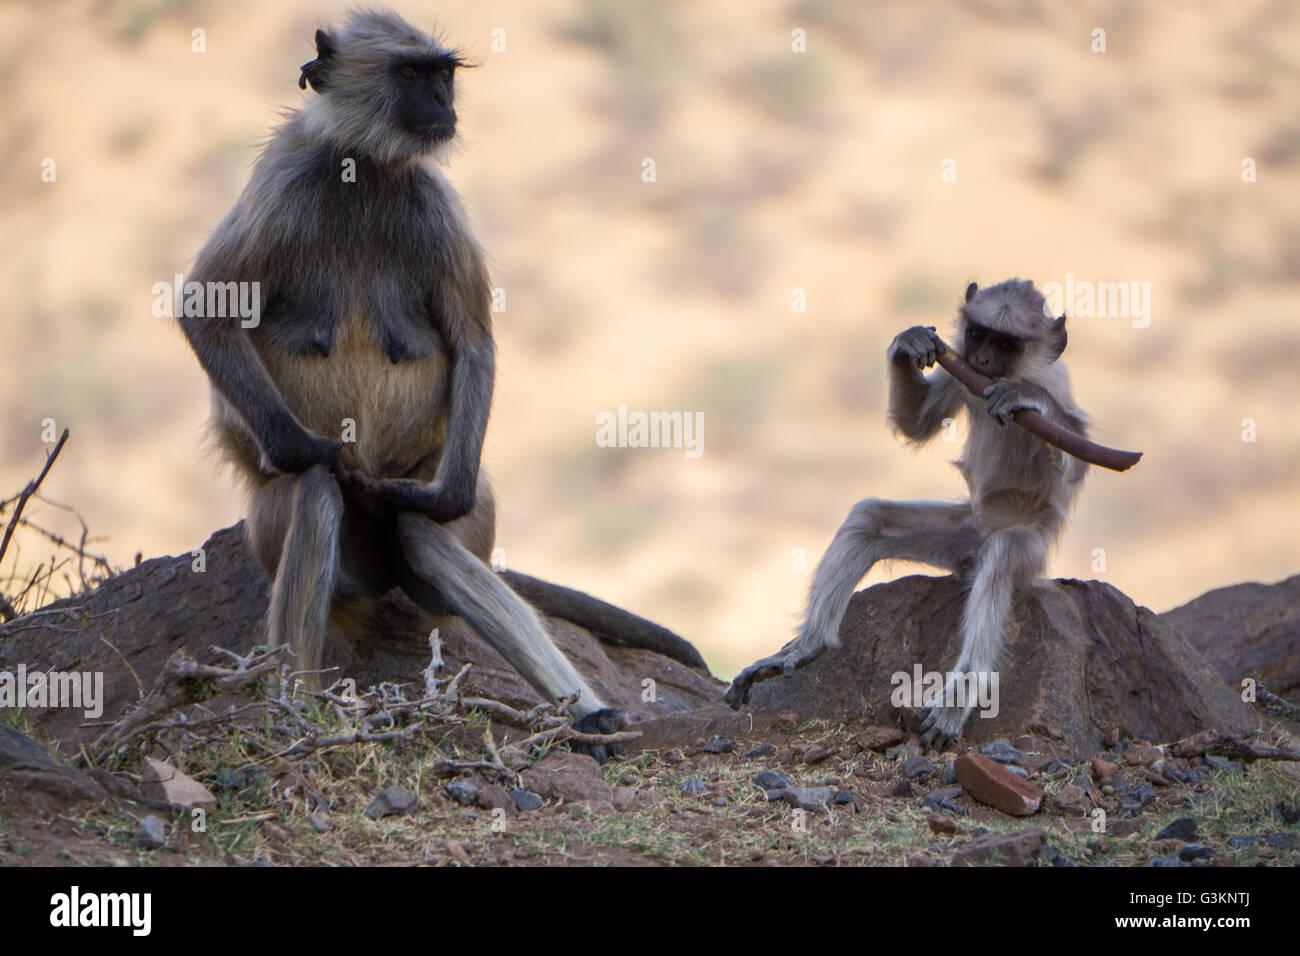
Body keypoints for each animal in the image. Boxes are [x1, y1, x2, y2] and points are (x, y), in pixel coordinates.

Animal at [176, 10, 697, 760]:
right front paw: (306, 449)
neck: (363, 166)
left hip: (441, 508)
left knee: (421, 527)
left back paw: (587, 714)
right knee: (316, 494)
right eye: (411, 74)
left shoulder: (435, 201)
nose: (443, 104)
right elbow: (203, 308)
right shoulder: (284, 178)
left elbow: (474, 341)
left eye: (442, 74)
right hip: (278, 534)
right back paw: (297, 708)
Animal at [726, 279, 1089, 749]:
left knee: (1002, 556)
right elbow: (917, 425)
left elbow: (1076, 460)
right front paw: (907, 344)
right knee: (869, 517)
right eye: (978, 336)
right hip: (963, 532)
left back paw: (960, 695)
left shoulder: (1052, 381)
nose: (982, 361)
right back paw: (809, 647)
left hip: (1034, 542)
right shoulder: (963, 375)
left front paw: (1028, 399)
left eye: (1006, 344)